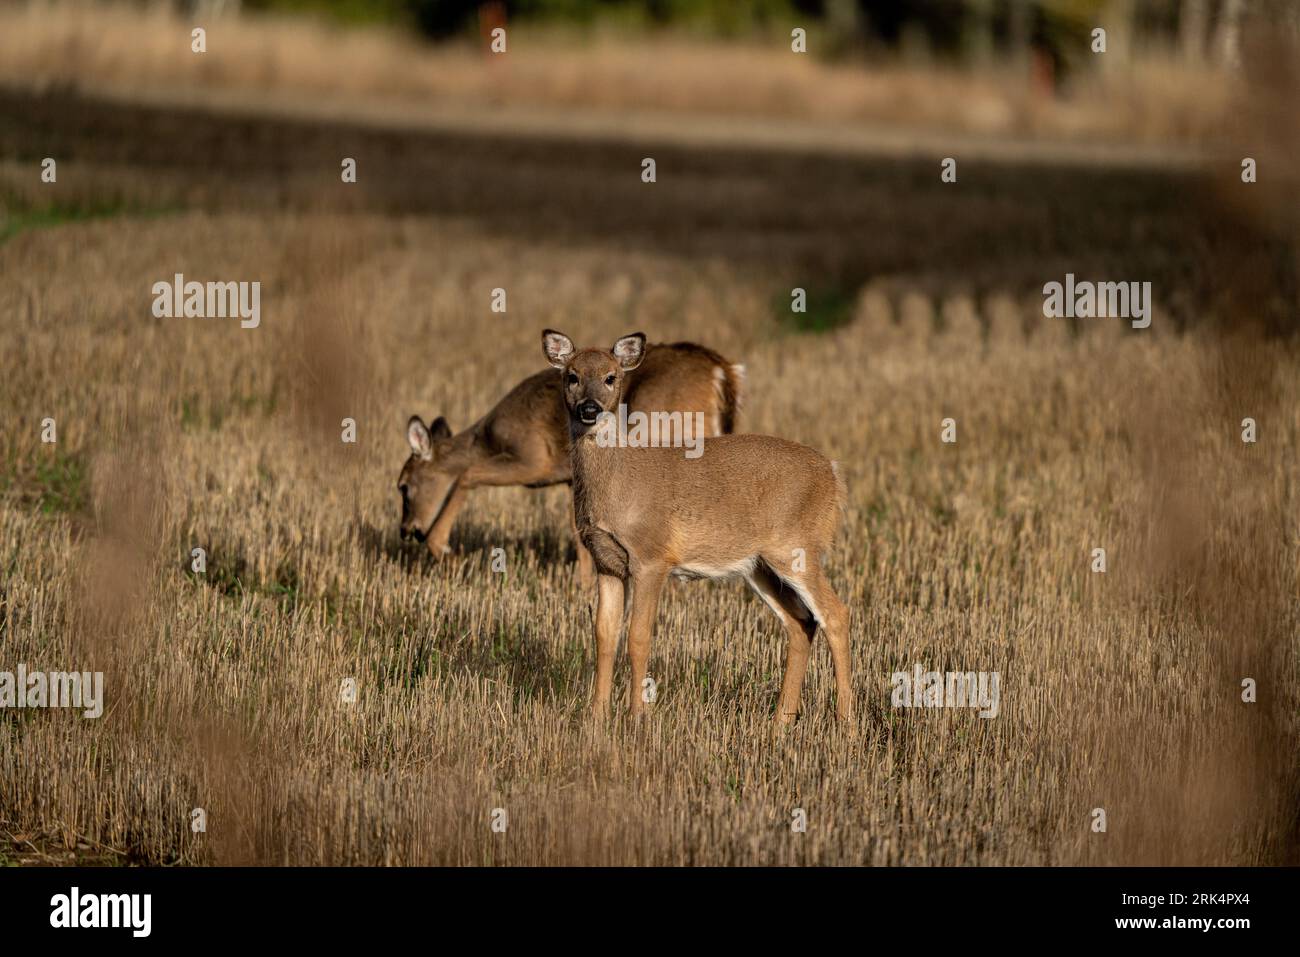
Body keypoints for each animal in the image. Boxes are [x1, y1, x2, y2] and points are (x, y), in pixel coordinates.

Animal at [399, 340, 743, 585]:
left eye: (403, 485)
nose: (406, 530)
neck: (489, 438)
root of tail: (722, 372)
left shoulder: (533, 460)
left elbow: (467, 474)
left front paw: (442, 549)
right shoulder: (569, 478)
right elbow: (577, 529)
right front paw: (586, 585)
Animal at [541, 329, 852, 723]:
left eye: (611, 377)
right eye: (572, 376)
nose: (590, 409)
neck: (617, 484)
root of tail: (833, 474)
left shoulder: (652, 556)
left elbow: (639, 637)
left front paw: (636, 717)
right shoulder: (606, 561)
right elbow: (604, 634)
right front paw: (596, 716)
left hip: (798, 546)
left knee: (835, 614)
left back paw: (847, 722)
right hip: (760, 565)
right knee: (801, 623)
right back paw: (781, 721)